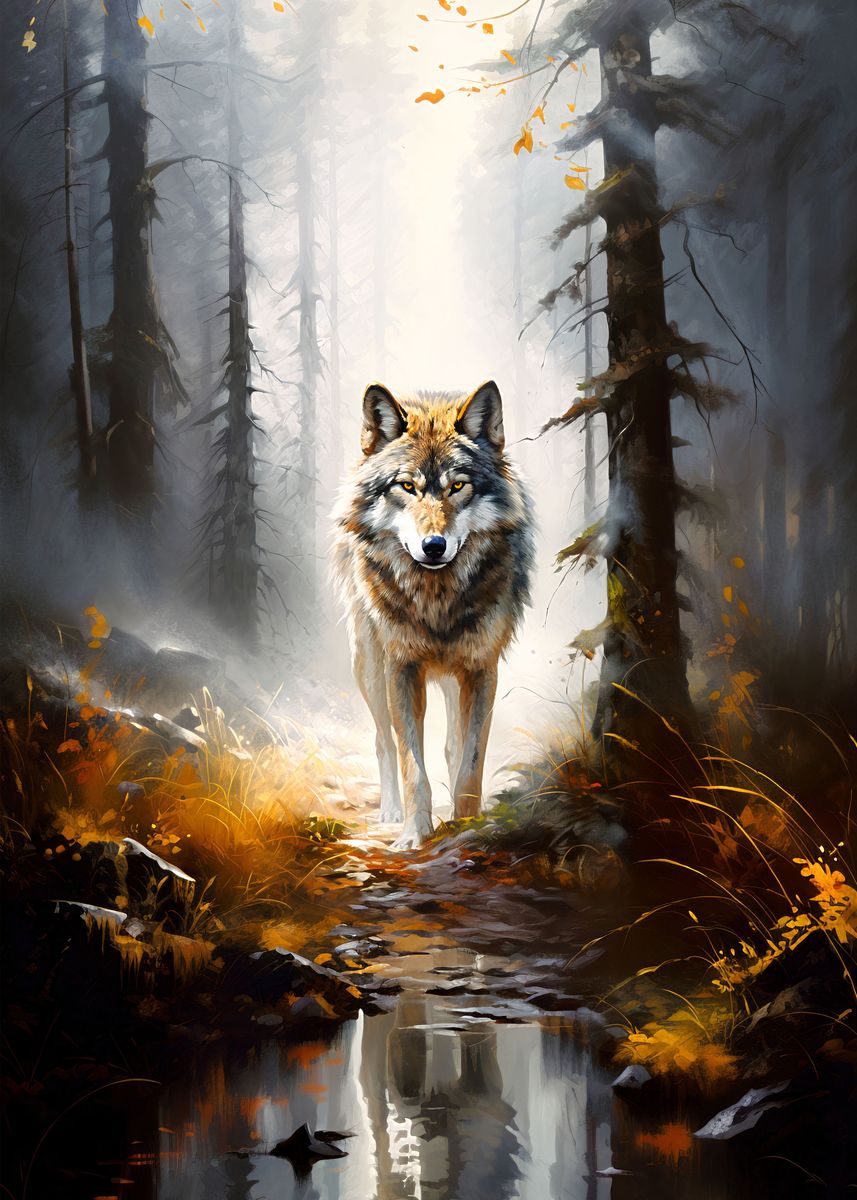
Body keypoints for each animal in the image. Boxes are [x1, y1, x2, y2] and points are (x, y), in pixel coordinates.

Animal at [333, 381, 534, 849]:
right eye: (407, 486)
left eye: (457, 485)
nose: (434, 546)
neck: (436, 600)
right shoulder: (402, 667)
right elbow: (412, 765)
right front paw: (412, 834)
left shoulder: (482, 668)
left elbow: (470, 763)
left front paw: (467, 827)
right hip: (369, 666)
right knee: (382, 741)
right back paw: (390, 811)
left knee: (451, 746)